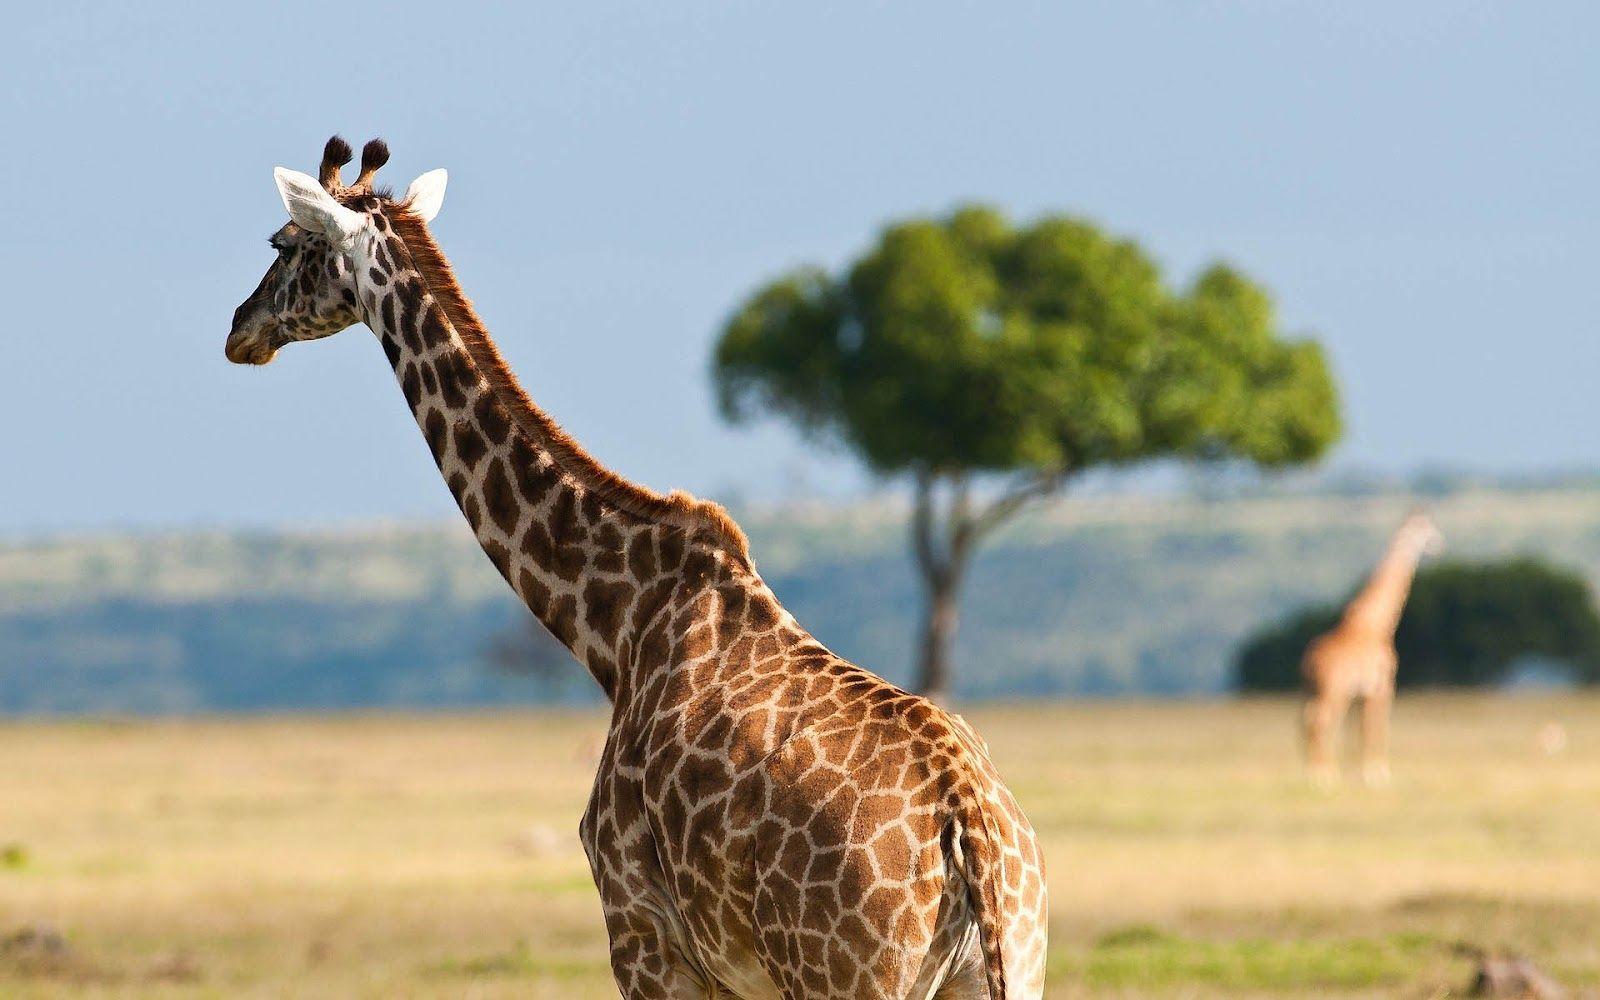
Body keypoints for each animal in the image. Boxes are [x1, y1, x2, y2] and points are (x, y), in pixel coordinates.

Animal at [225, 137, 1048, 999]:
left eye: (284, 244)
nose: (240, 330)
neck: (613, 629)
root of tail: (974, 835)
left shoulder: (643, 934)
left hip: (849, 976)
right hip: (1005, 967)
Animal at [1301, 512, 1443, 788]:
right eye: (1425, 528)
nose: (1439, 544)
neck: (1376, 624)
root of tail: (1309, 662)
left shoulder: (1362, 692)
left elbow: (1357, 731)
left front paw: (1360, 773)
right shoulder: (1383, 684)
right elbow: (1377, 726)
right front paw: (1377, 773)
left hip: (1311, 690)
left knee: (1306, 720)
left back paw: (1314, 772)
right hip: (1335, 690)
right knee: (1321, 721)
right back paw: (1323, 776)